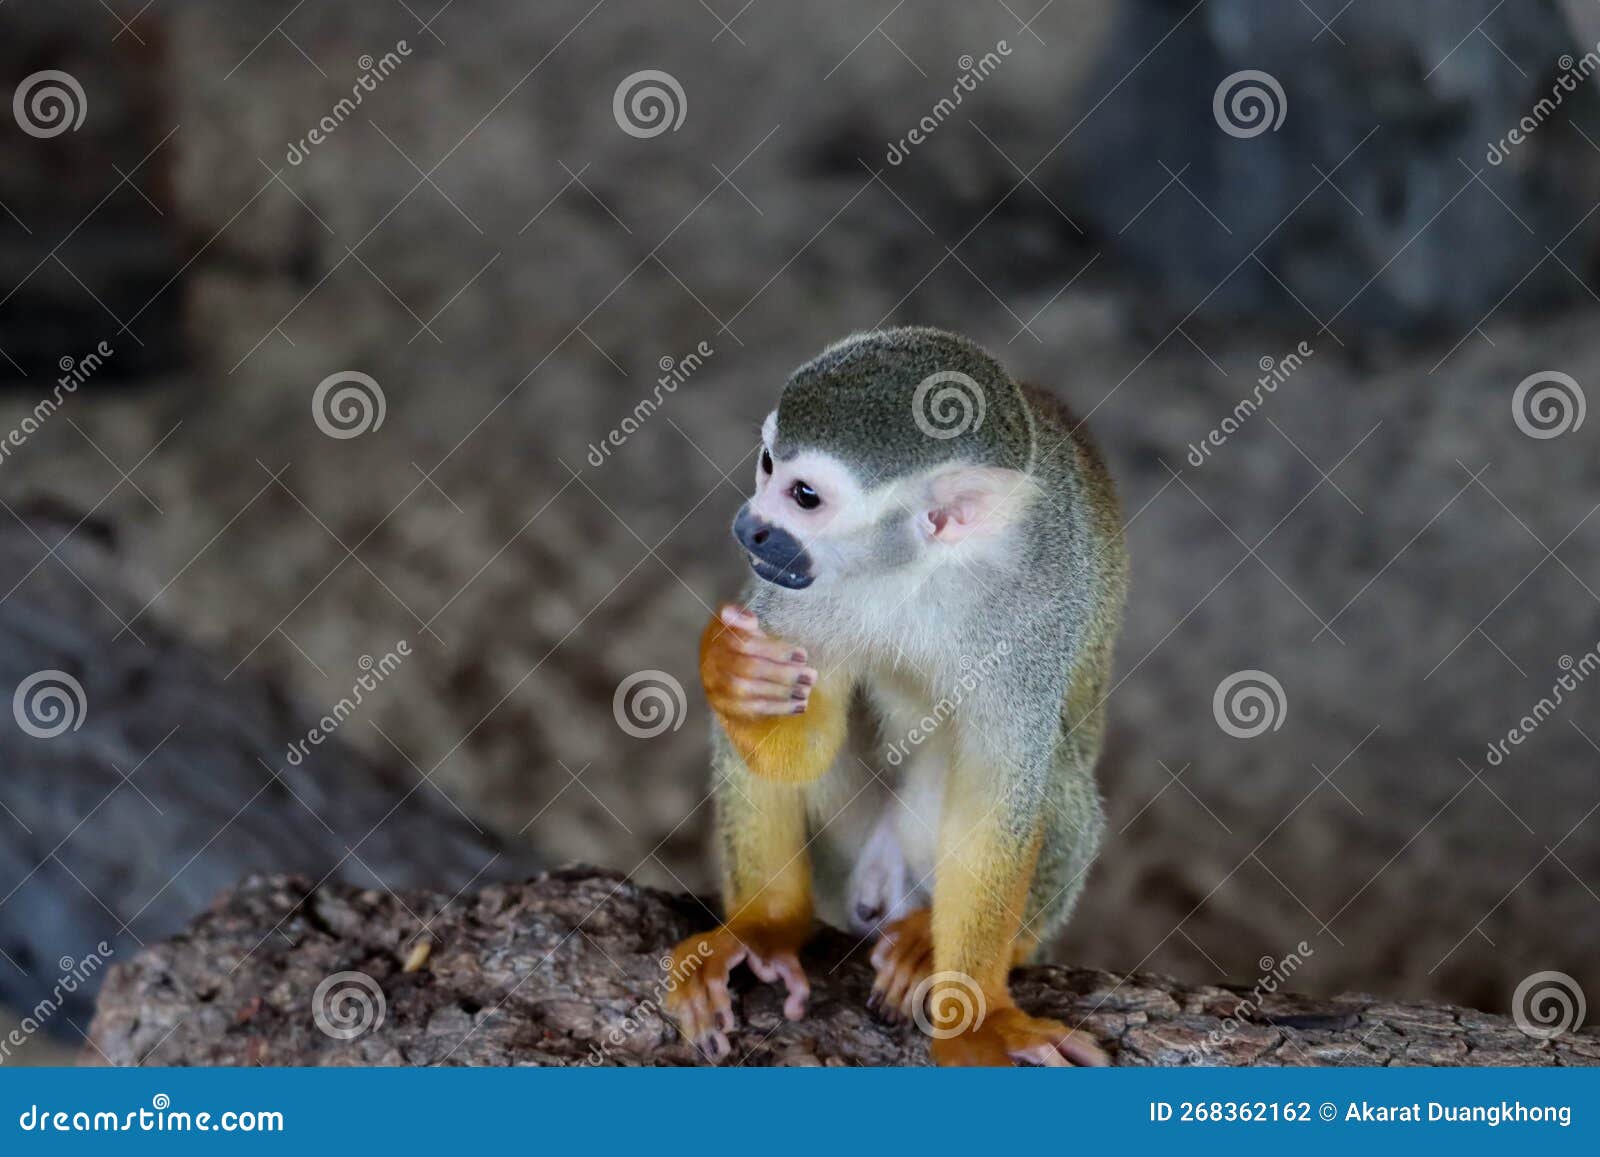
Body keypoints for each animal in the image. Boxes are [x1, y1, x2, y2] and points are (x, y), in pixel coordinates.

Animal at [664, 326, 1128, 1066]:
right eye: (766, 463)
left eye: (804, 495)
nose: (750, 526)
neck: (923, 567)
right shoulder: (801, 588)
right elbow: (800, 742)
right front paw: (735, 674)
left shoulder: (1036, 614)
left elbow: (999, 793)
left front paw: (981, 1014)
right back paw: (765, 927)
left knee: (1052, 777)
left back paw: (927, 944)